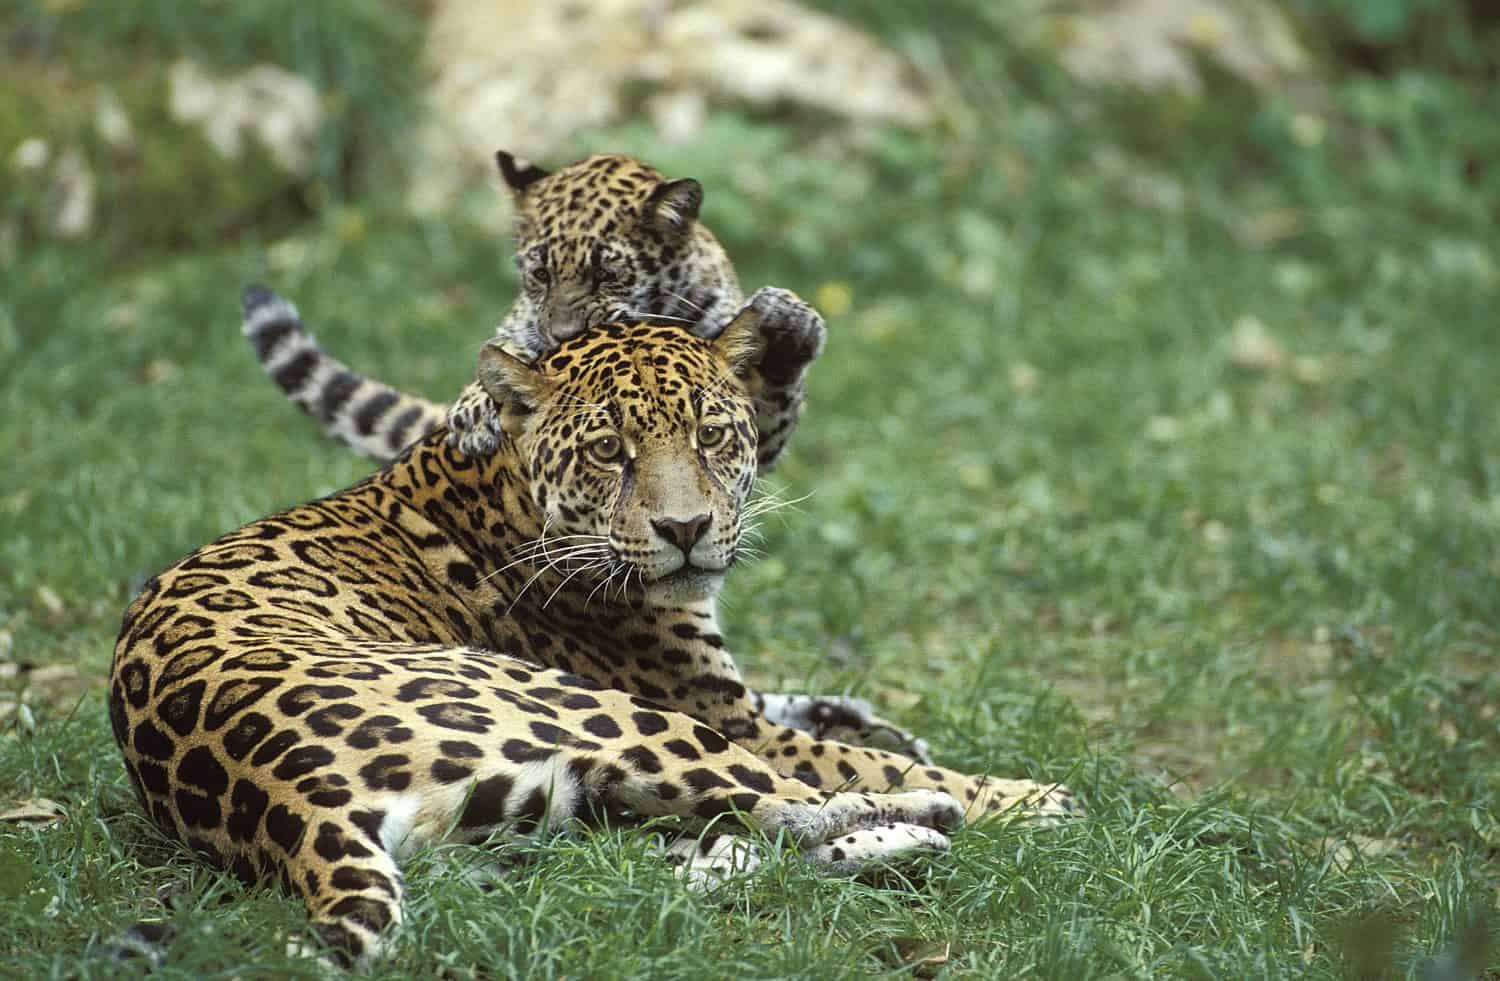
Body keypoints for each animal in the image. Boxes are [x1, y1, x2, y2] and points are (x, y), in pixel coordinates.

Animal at [111, 285, 1076, 966]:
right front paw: (1020, 793)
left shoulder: (731, 698)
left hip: (521, 832)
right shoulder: (722, 714)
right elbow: (844, 759)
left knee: (699, 852)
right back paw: (937, 815)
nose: (686, 528)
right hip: (598, 710)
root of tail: (288, 801)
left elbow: (815, 715)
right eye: (610, 450)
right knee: (783, 805)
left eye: (712, 434)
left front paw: (866, 713)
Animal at [247, 151, 816, 471]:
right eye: (539, 274)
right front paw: (475, 411)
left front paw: (789, 318)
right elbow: (500, 358)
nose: (562, 332)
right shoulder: (520, 327)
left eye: (607, 275)